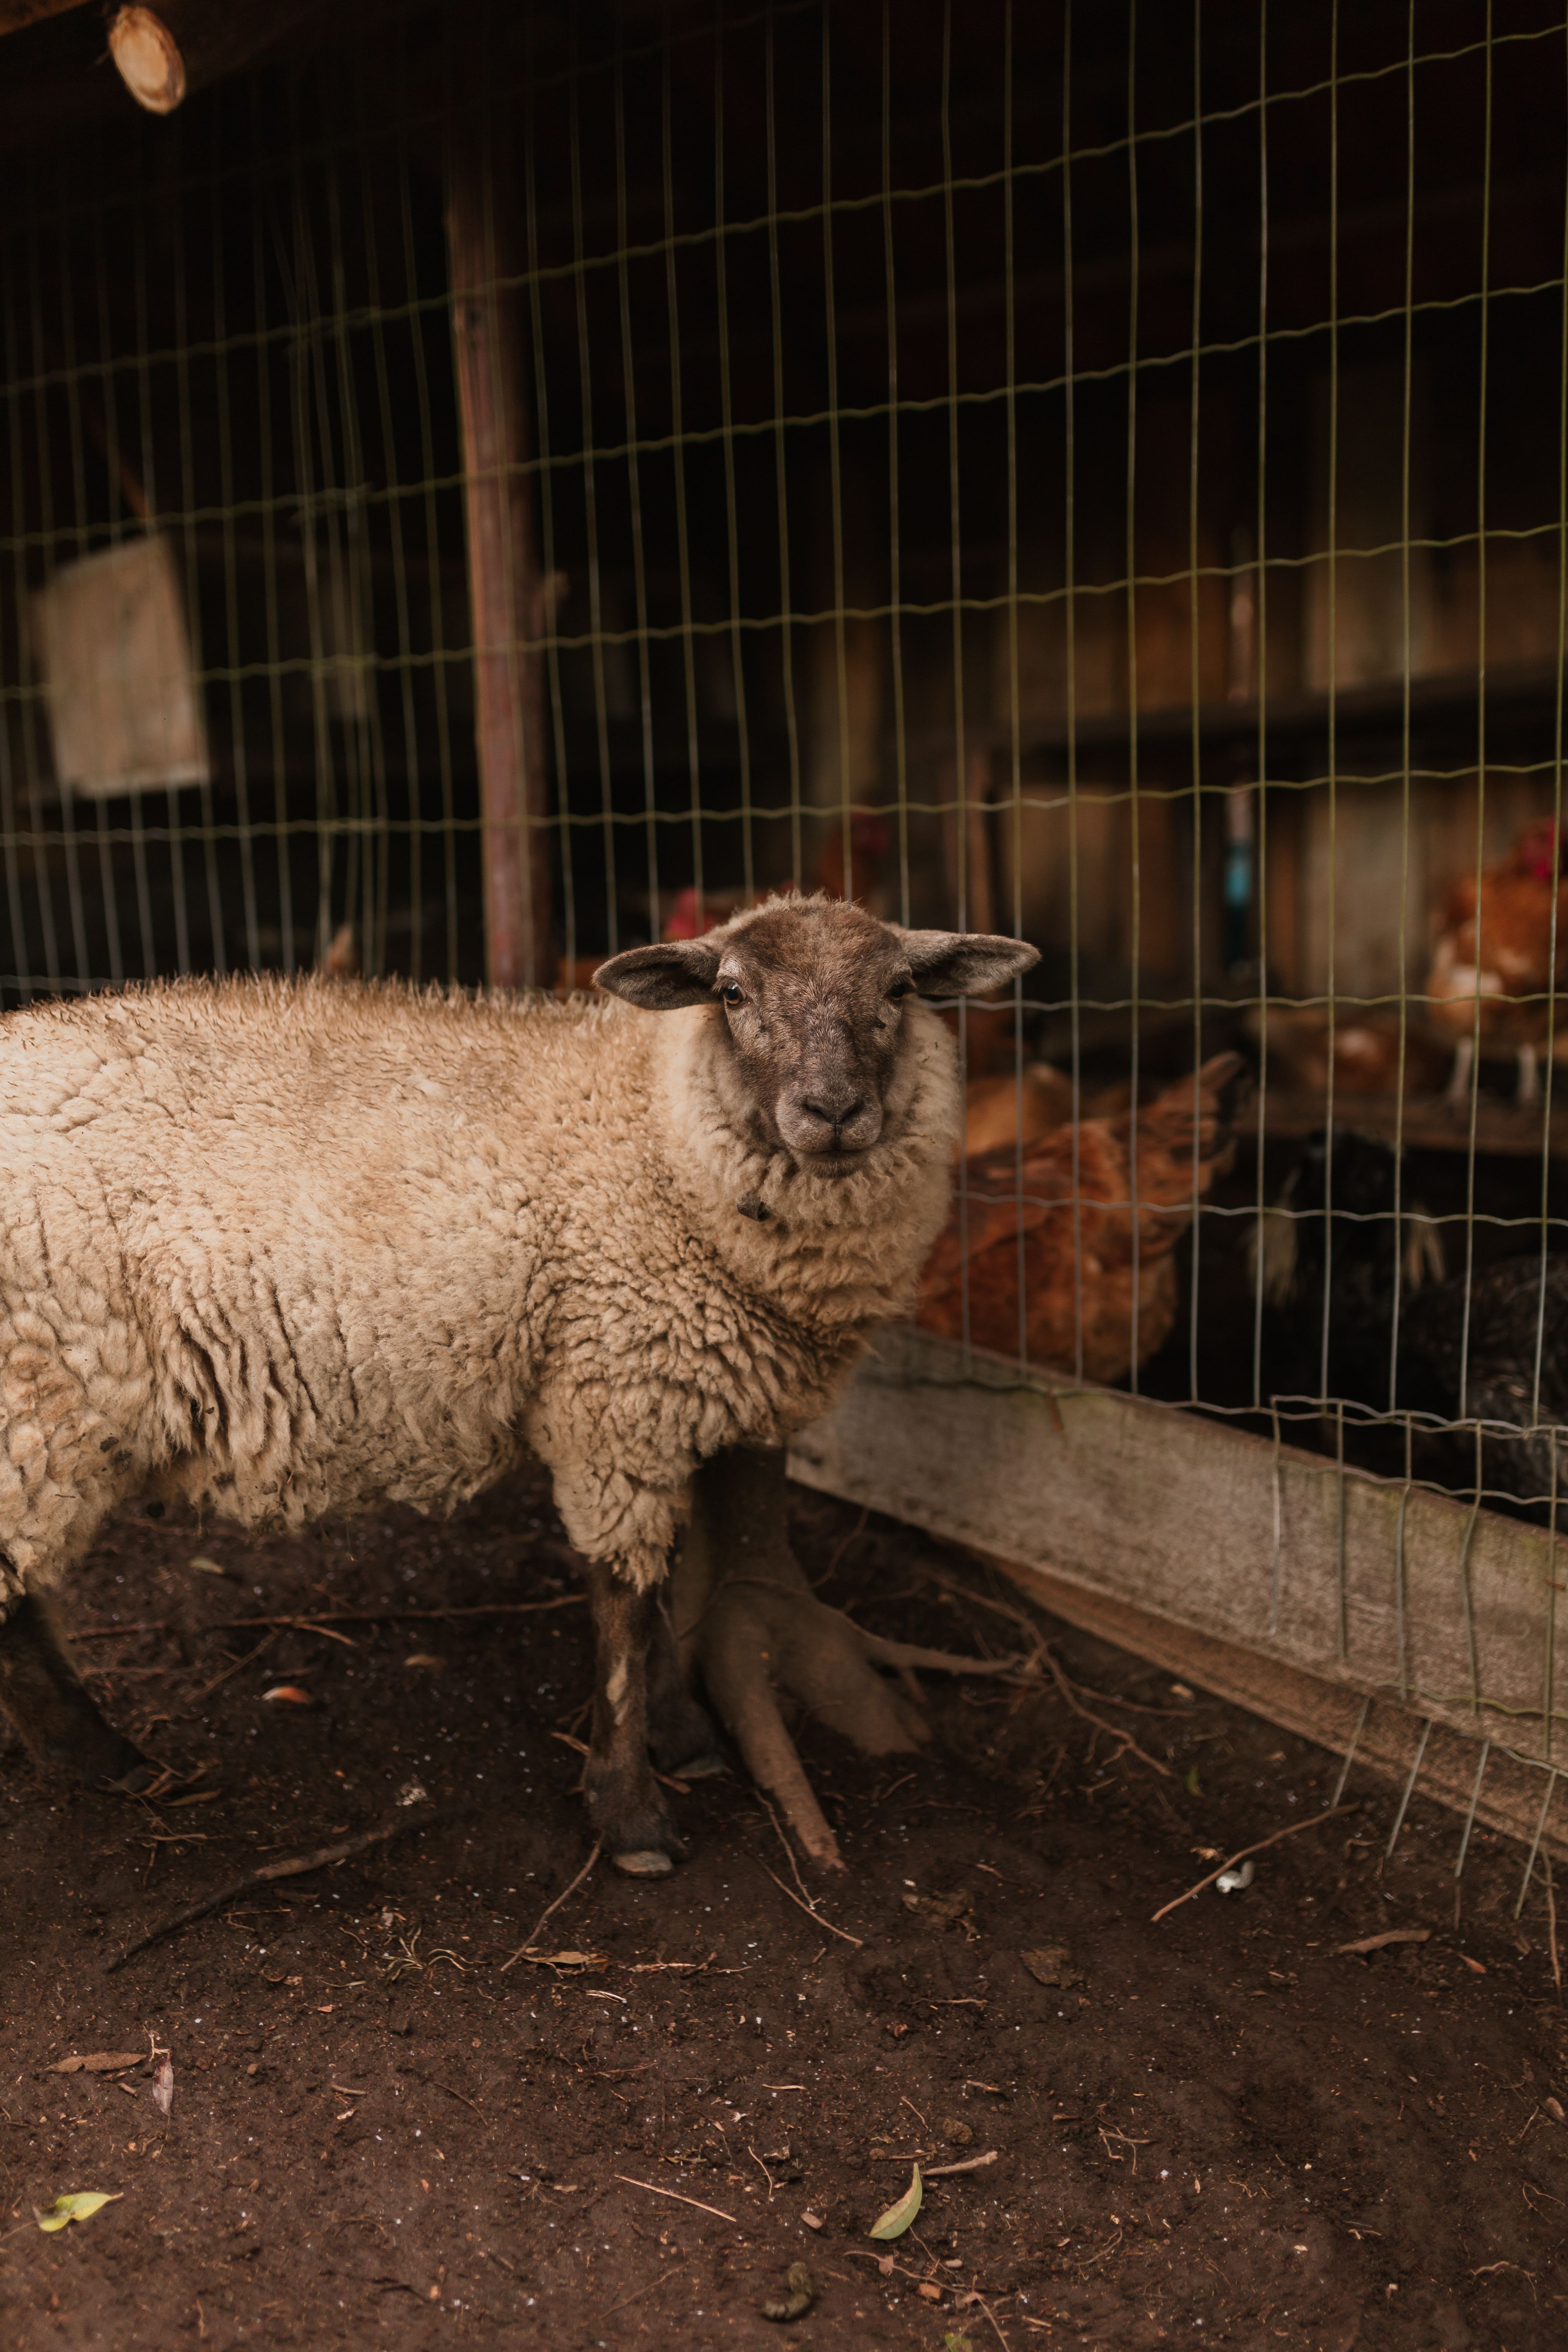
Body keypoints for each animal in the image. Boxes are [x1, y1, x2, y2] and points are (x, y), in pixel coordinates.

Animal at [0, 893, 1038, 1873]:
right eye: (734, 994)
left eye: (898, 990)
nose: (831, 1111)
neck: (652, 1130)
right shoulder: (617, 1394)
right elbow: (625, 1604)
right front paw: (631, 1813)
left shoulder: (671, 1402)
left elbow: (666, 1584)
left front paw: (684, 1737)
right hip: (37, 1402)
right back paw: (100, 1754)